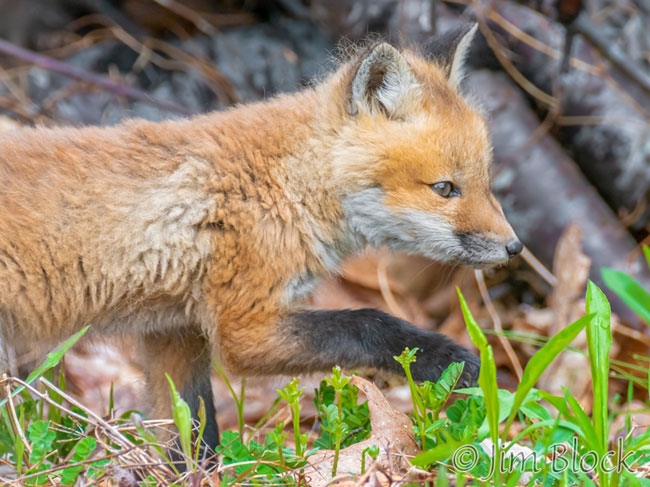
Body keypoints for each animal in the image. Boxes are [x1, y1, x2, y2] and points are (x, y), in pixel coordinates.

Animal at [0, 23, 522, 452]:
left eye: (485, 181)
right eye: (444, 188)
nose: (515, 247)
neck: (282, 187)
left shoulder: (176, 331)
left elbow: (194, 436)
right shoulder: (242, 328)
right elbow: (367, 322)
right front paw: (453, 360)